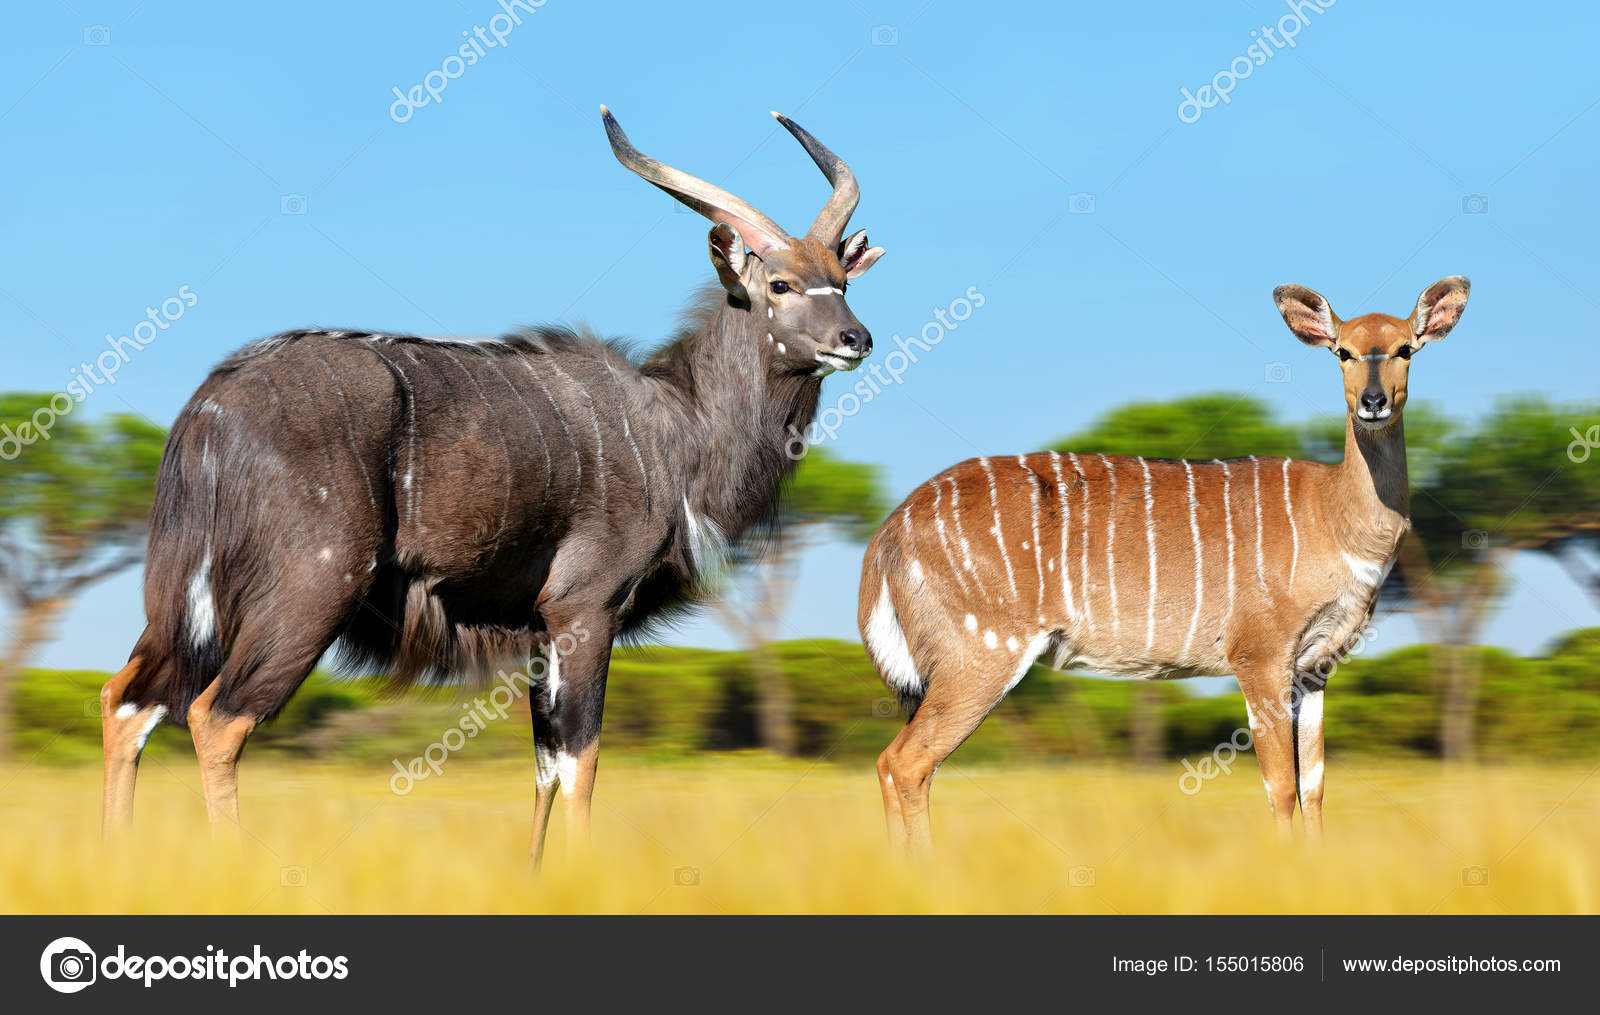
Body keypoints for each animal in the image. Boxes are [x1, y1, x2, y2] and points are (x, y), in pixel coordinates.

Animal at [99, 107, 886, 865]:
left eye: (844, 283)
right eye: (779, 284)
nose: (856, 339)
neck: (678, 426)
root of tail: (211, 405)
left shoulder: (540, 629)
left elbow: (544, 764)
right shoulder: (584, 608)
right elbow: (581, 759)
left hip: (189, 605)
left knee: (126, 700)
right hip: (309, 591)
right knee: (215, 716)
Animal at [859, 277, 1469, 852]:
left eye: (1406, 348)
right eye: (1342, 351)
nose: (1373, 402)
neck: (1333, 516)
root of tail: (887, 536)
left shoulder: (1315, 668)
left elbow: (1314, 786)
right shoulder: (1259, 655)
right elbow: (1280, 786)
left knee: (894, 764)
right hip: (980, 656)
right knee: (906, 762)